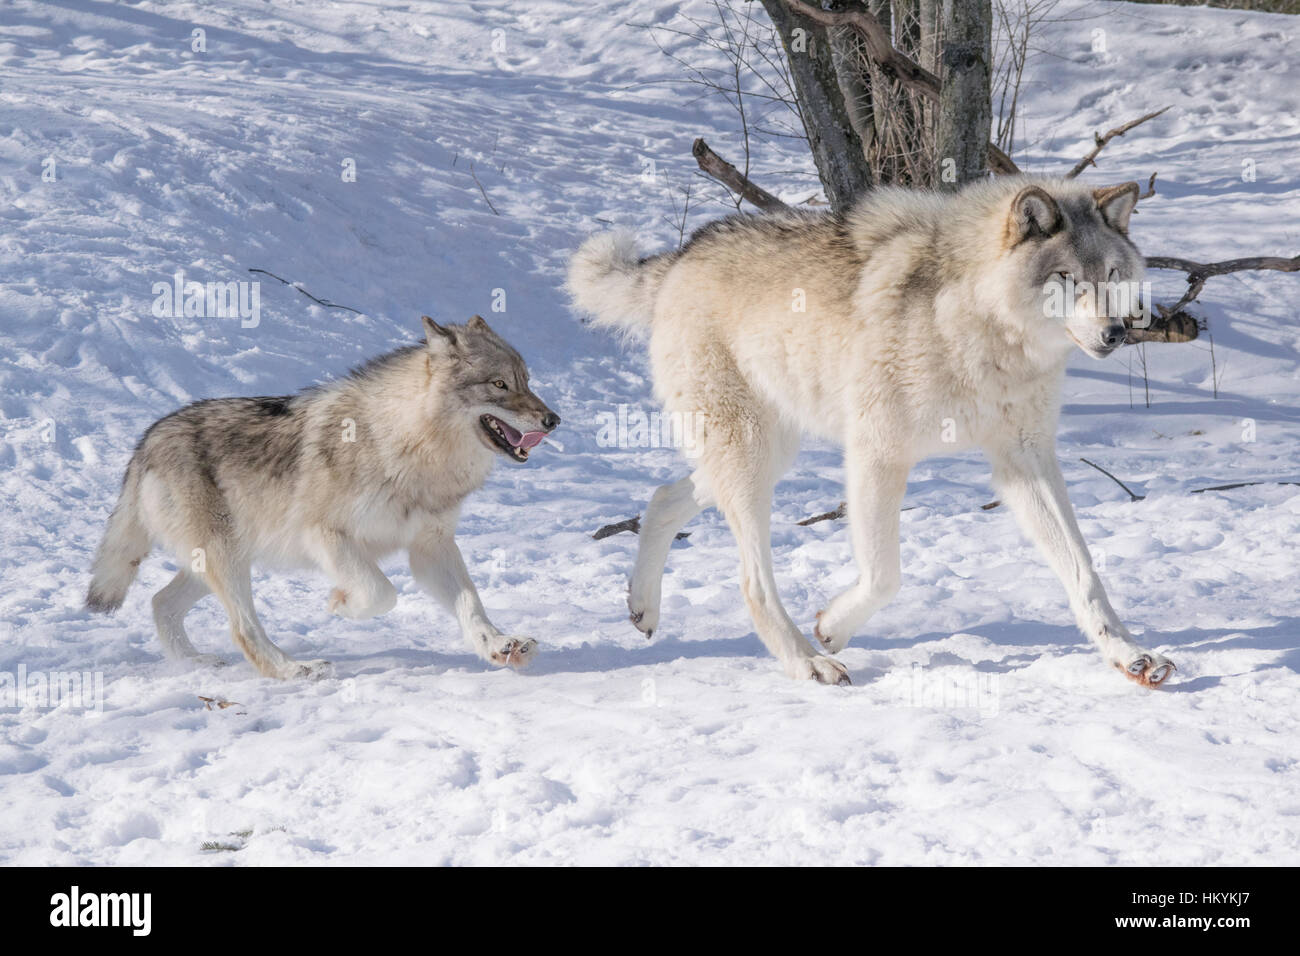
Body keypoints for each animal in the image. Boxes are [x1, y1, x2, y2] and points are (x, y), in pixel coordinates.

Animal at [86, 315, 560, 678]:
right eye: (499, 384)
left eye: (527, 381)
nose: (553, 419)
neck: (409, 447)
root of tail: (147, 439)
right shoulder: (323, 536)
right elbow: (381, 592)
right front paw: (339, 603)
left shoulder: (431, 547)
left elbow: (470, 603)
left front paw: (500, 644)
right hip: (228, 561)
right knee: (242, 629)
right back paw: (295, 670)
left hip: (222, 561)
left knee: (160, 603)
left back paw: (195, 664)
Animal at [570, 176, 1174, 688]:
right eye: (1066, 279)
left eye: (1112, 276)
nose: (1116, 333)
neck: (980, 328)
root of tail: (680, 256)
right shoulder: (877, 452)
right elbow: (885, 575)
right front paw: (832, 628)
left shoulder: (1024, 459)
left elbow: (1083, 568)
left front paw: (1129, 654)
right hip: (750, 456)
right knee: (752, 581)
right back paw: (808, 662)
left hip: (765, 452)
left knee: (663, 496)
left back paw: (643, 606)